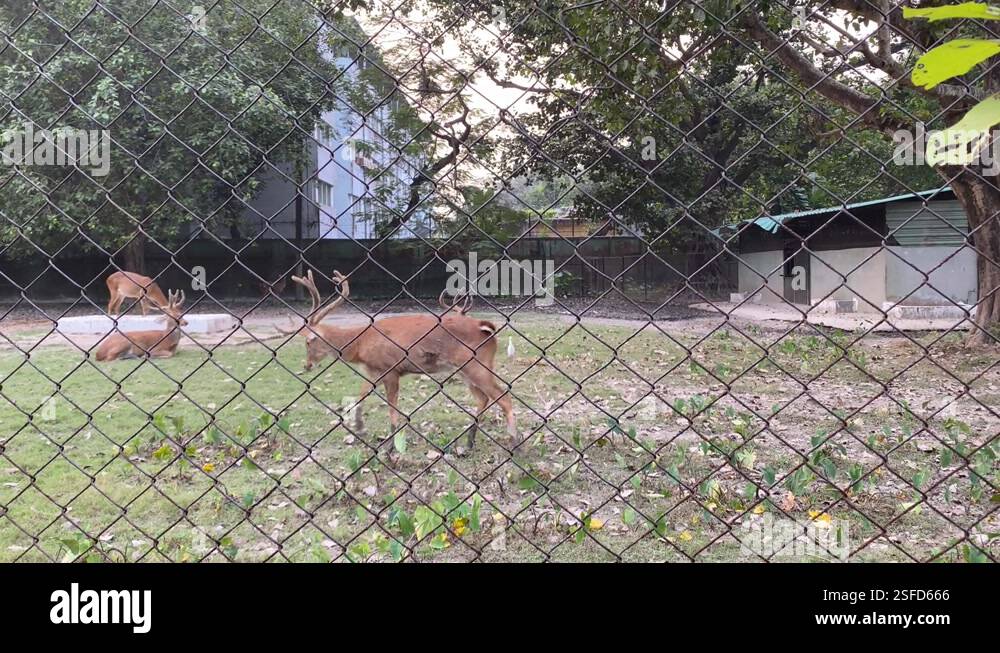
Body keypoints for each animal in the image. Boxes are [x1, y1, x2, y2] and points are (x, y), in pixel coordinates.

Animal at [278, 270, 515, 452]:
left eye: (308, 342)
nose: (306, 365)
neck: (361, 343)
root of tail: (487, 329)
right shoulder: (374, 370)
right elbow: (361, 395)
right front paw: (359, 426)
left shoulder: (390, 369)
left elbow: (392, 409)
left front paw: (390, 446)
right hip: (466, 369)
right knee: (484, 398)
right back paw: (469, 443)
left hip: (476, 364)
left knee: (503, 396)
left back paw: (515, 442)